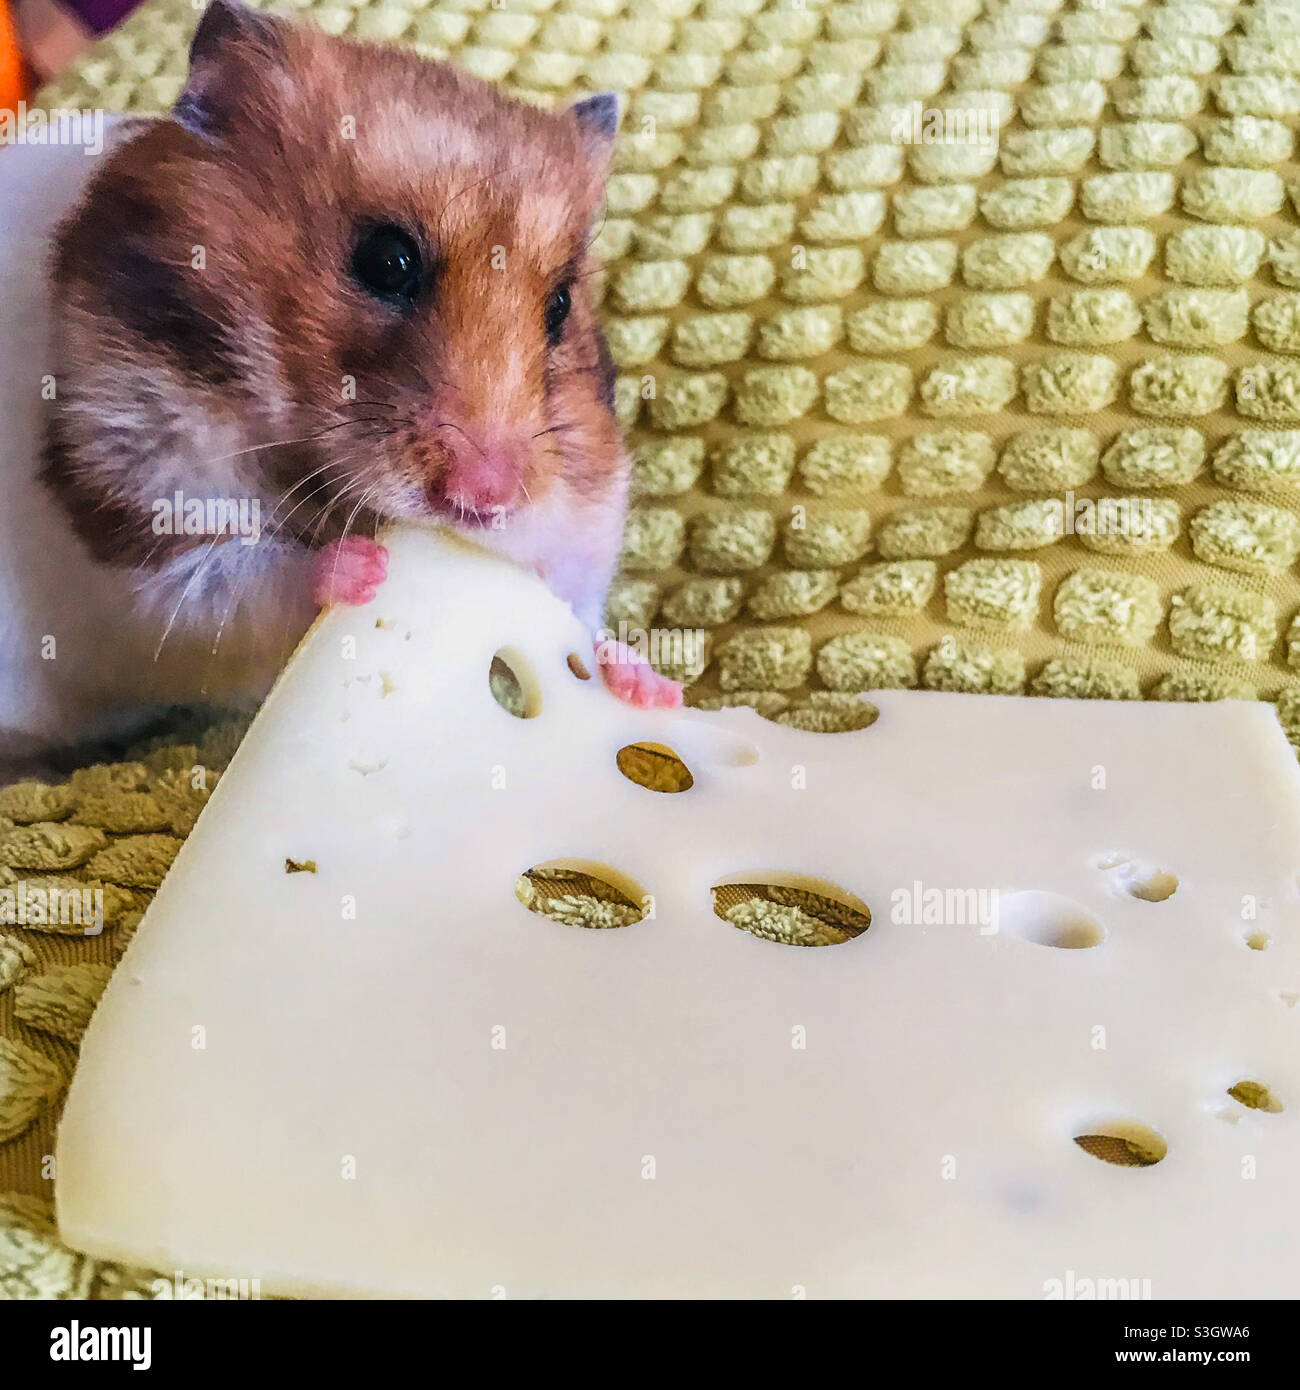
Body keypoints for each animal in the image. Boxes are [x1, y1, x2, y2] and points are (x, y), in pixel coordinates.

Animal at [0, 0, 680, 770]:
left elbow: (577, 602)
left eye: (561, 306)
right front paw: (367, 565)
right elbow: (232, 588)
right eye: (387, 261)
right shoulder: (137, 520)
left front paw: (649, 686)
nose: (485, 499)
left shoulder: (583, 512)